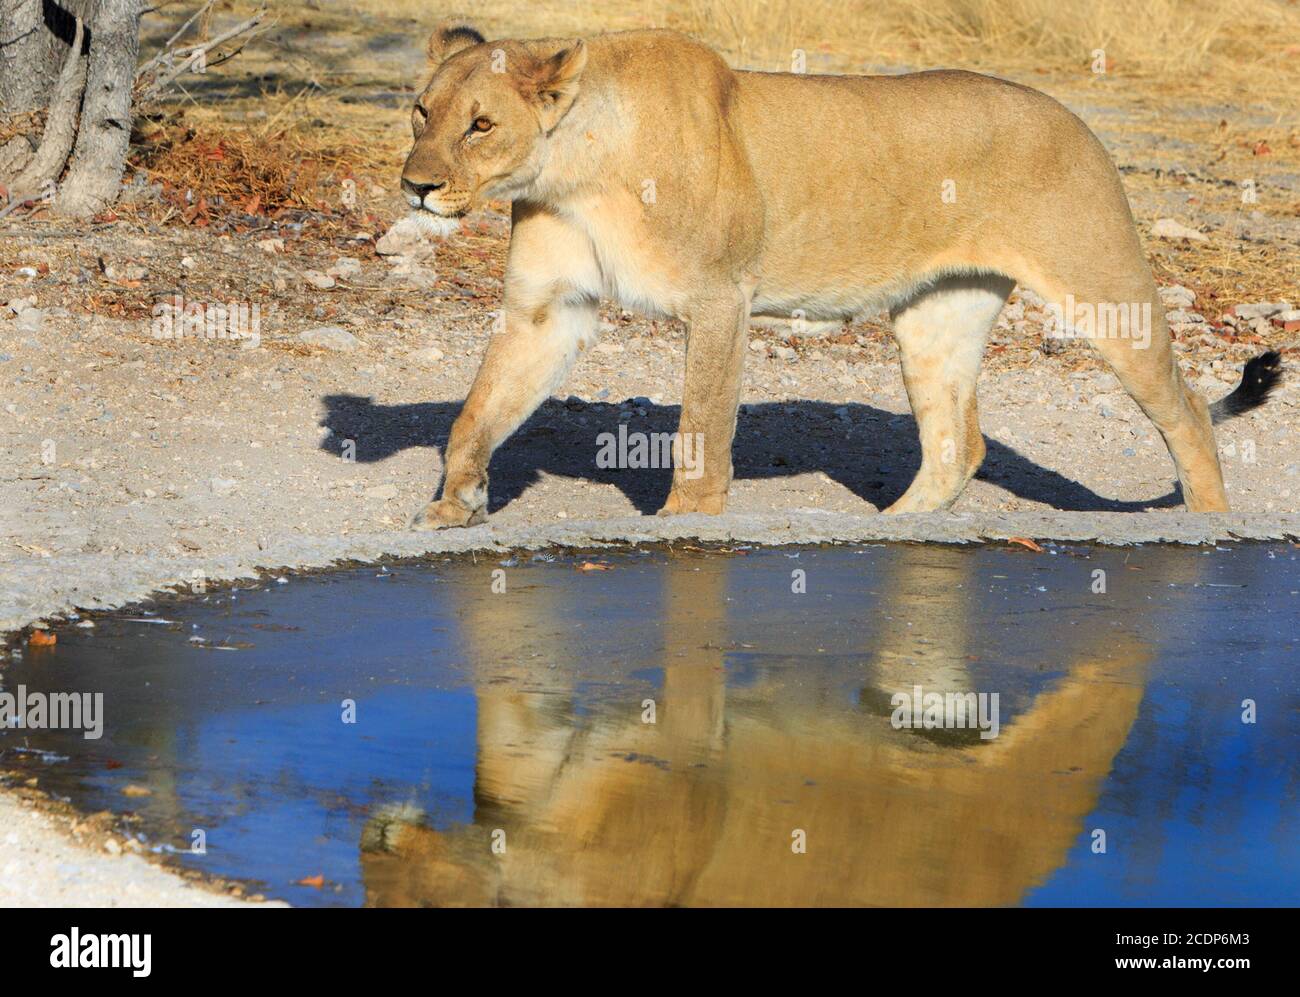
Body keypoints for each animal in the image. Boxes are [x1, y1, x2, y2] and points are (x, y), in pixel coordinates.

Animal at [400, 23, 1281, 529]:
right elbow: (477, 413)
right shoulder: (547, 307)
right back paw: (892, 527)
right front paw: (454, 504)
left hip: (1104, 287)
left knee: (1189, 414)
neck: (574, 172)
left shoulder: (720, 299)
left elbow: (701, 428)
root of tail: (1078, 119)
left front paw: (685, 520)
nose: (415, 186)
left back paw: (1210, 529)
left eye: (482, 124)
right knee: (958, 443)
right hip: (936, 316)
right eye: (421, 111)